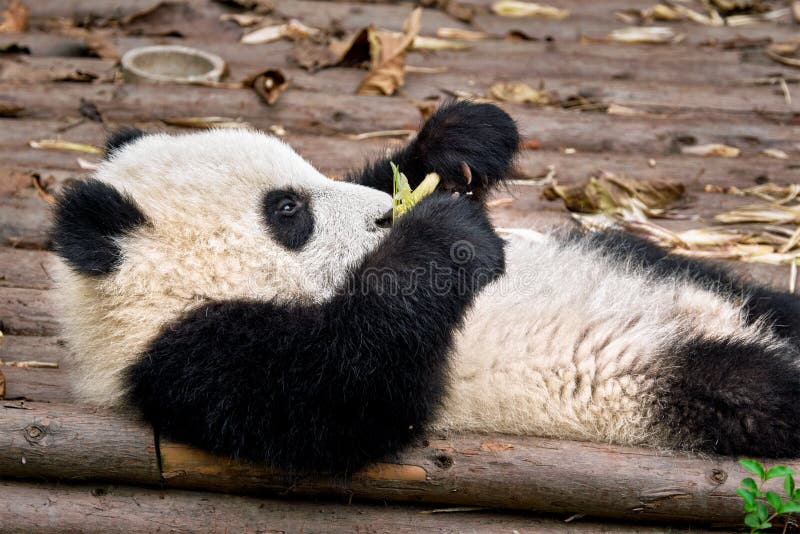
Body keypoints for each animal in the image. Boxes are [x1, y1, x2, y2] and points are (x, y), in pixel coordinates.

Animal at [51, 101, 800, 473]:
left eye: (307, 174)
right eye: (288, 210)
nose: (386, 217)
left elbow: (397, 169)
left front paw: (458, 144)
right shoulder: (188, 357)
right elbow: (340, 398)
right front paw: (444, 237)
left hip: (664, 271)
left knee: (768, 304)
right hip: (650, 380)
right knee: (751, 390)